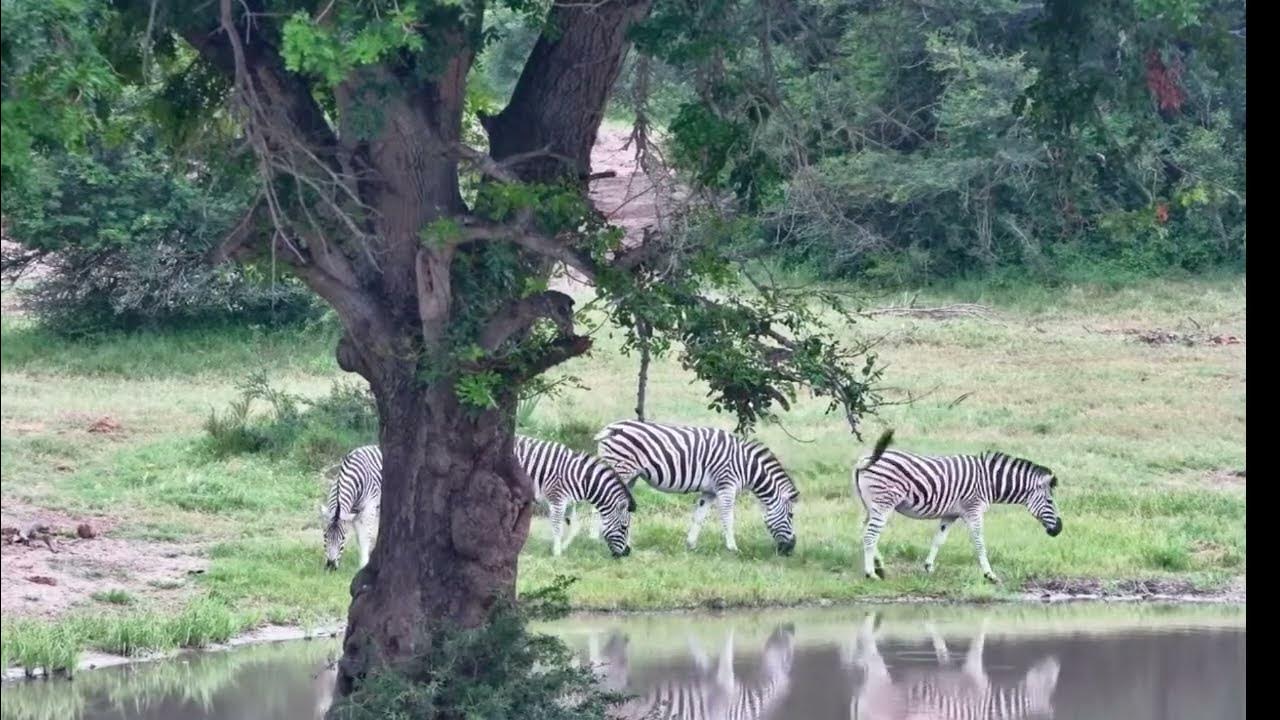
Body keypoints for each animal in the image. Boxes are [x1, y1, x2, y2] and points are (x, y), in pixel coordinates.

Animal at [595, 420, 800, 555]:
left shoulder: (709, 492)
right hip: (620, 469)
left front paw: (691, 545)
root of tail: (611, 427)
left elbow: (699, 517)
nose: (790, 549)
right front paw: (733, 548)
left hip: (629, 476)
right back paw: (595, 538)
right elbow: (728, 518)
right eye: (791, 515)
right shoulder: (726, 485)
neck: (746, 466)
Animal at [844, 613, 1061, 720]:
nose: (1056, 662)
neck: (989, 703)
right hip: (881, 686)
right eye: (1048, 683)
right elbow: (979, 640)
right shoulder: (975, 671)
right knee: (870, 651)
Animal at [853, 429, 1062, 583]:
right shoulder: (973, 510)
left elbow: (939, 540)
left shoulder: (951, 514)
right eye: (1050, 502)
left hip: (870, 505)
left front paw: (928, 567)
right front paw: (990, 575)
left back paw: (880, 566)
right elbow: (979, 542)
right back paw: (871, 573)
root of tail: (865, 460)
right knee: (870, 535)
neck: (989, 482)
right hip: (883, 503)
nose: (1059, 529)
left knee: (865, 530)